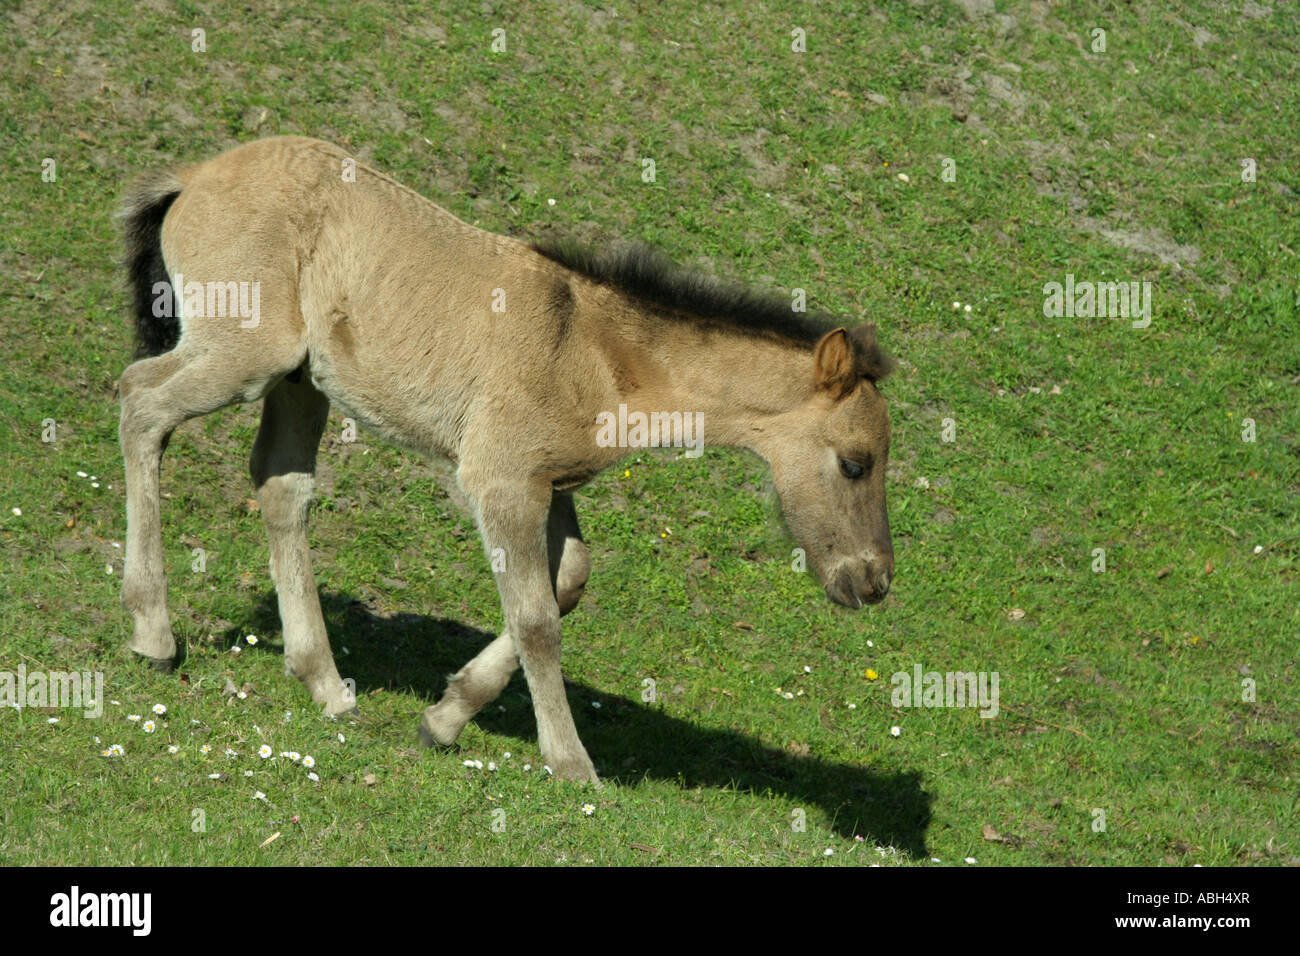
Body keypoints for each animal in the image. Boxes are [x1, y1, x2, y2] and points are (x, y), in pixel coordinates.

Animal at [116, 136, 895, 783]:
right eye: (856, 463)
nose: (874, 583)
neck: (594, 352)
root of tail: (192, 178)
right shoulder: (498, 481)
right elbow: (537, 620)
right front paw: (572, 764)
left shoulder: (549, 484)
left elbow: (569, 581)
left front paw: (443, 718)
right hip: (246, 355)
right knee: (140, 404)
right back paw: (153, 635)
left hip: (300, 380)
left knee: (281, 485)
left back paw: (326, 685)